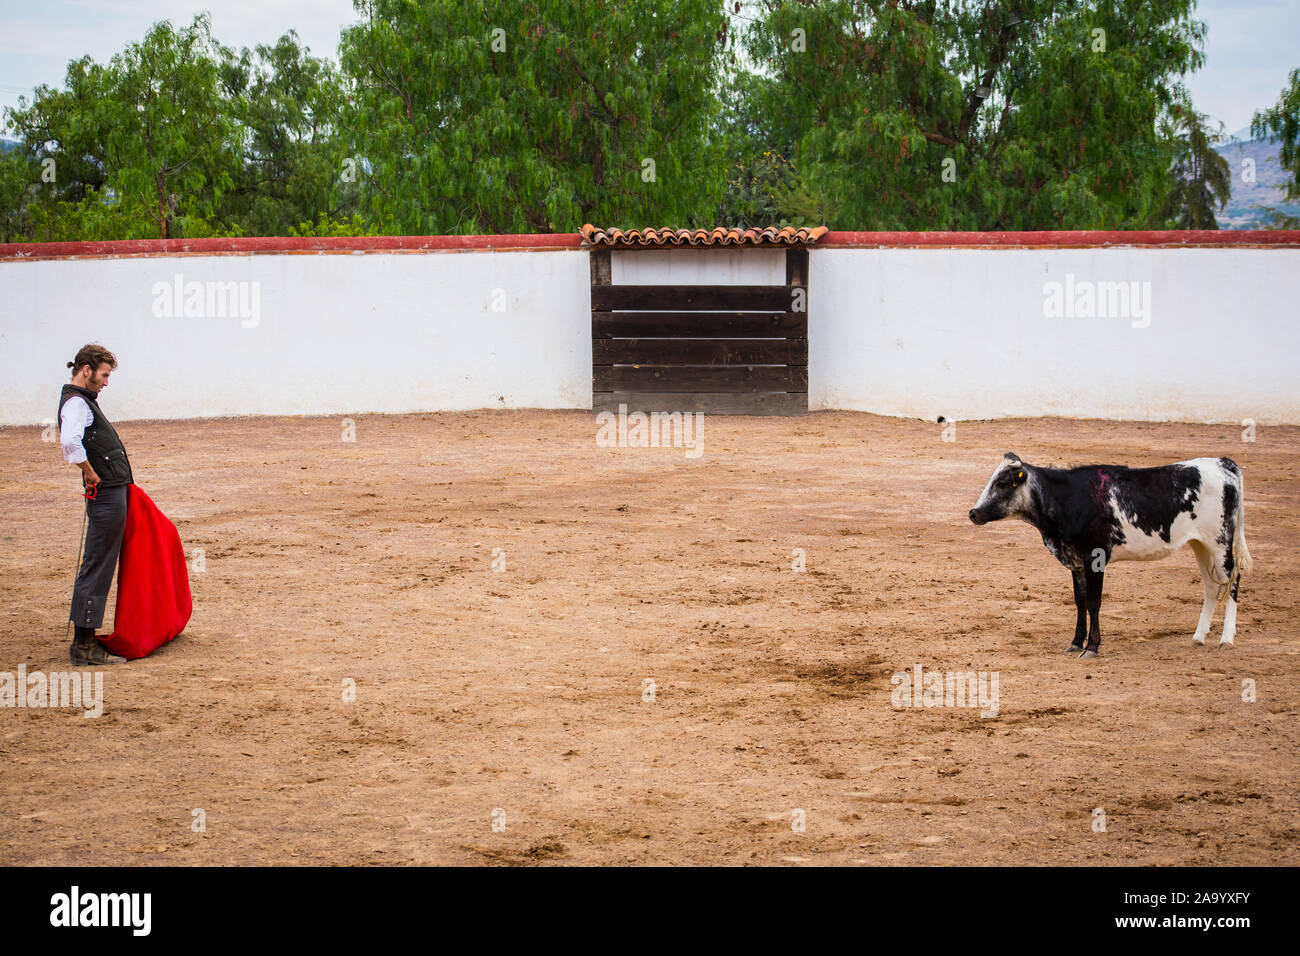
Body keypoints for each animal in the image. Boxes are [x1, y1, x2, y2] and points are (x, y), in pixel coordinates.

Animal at [968, 453, 1252, 658]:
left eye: (1002, 483)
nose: (973, 513)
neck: (1068, 498)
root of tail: (1223, 463)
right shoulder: (1076, 562)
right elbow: (1080, 601)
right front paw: (1076, 642)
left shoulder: (1096, 559)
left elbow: (1094, 602)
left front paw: (1092, 647)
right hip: (1201, 545)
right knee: (1211, 586)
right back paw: (1198, 637)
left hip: (1220, 544)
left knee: (1233, 582)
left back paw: (1226, 639)